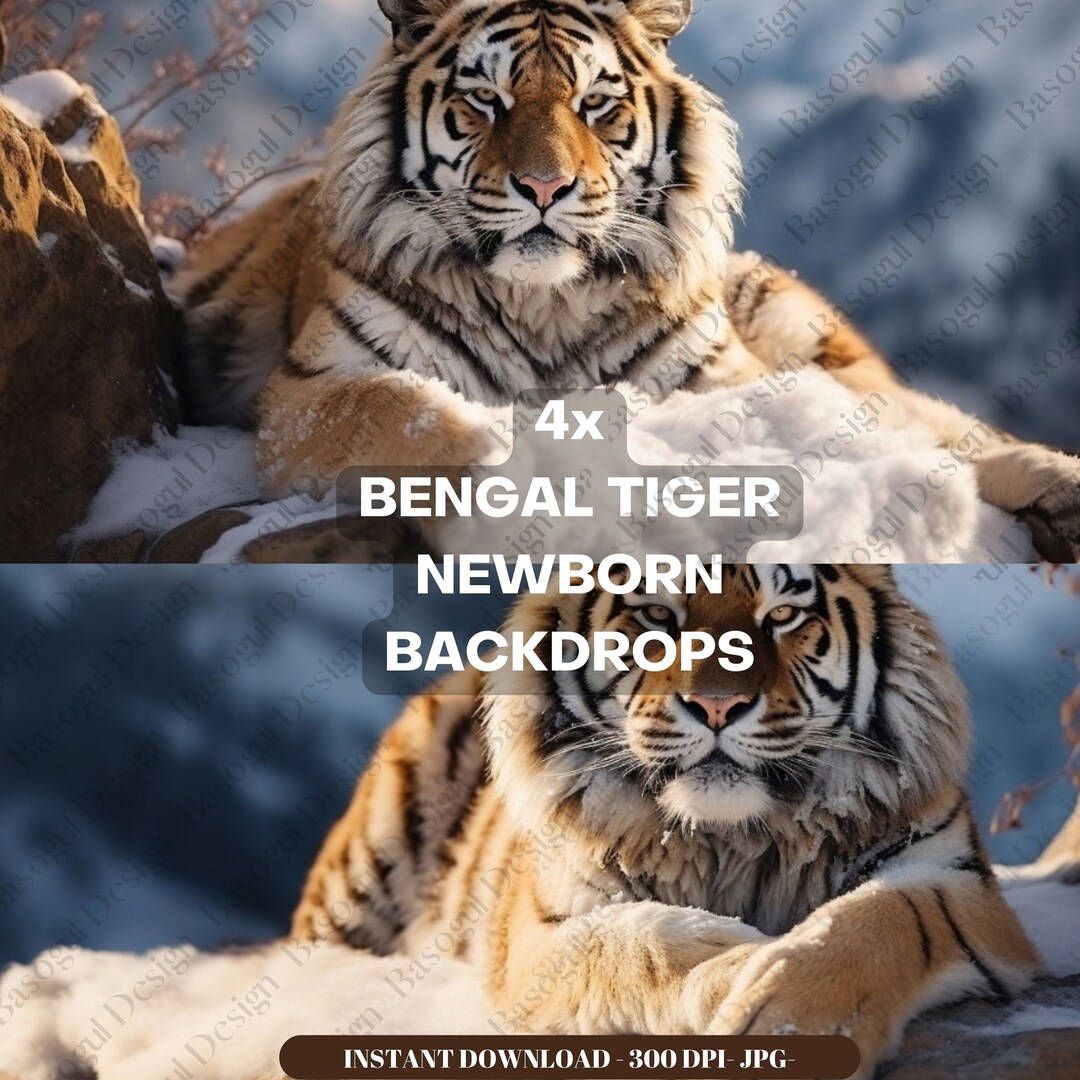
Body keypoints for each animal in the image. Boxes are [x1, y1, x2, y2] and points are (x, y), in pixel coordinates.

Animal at [174, 0, 1080, 562]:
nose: (545, 187)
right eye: (485, 100)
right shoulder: (311, 391)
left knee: (928, 421)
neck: (542, 299)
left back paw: (1057, 488)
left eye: (595, 105)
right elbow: (413, 416)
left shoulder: (727, 384)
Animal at [291, 564, 1039, 1076]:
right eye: (656, 612)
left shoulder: (954, 877)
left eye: (783, 614)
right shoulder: (538, 926)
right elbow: (625, 936)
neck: (735, 836)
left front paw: (782, 1020)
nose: (718, 704)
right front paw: (726, 962)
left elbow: (875, 919)